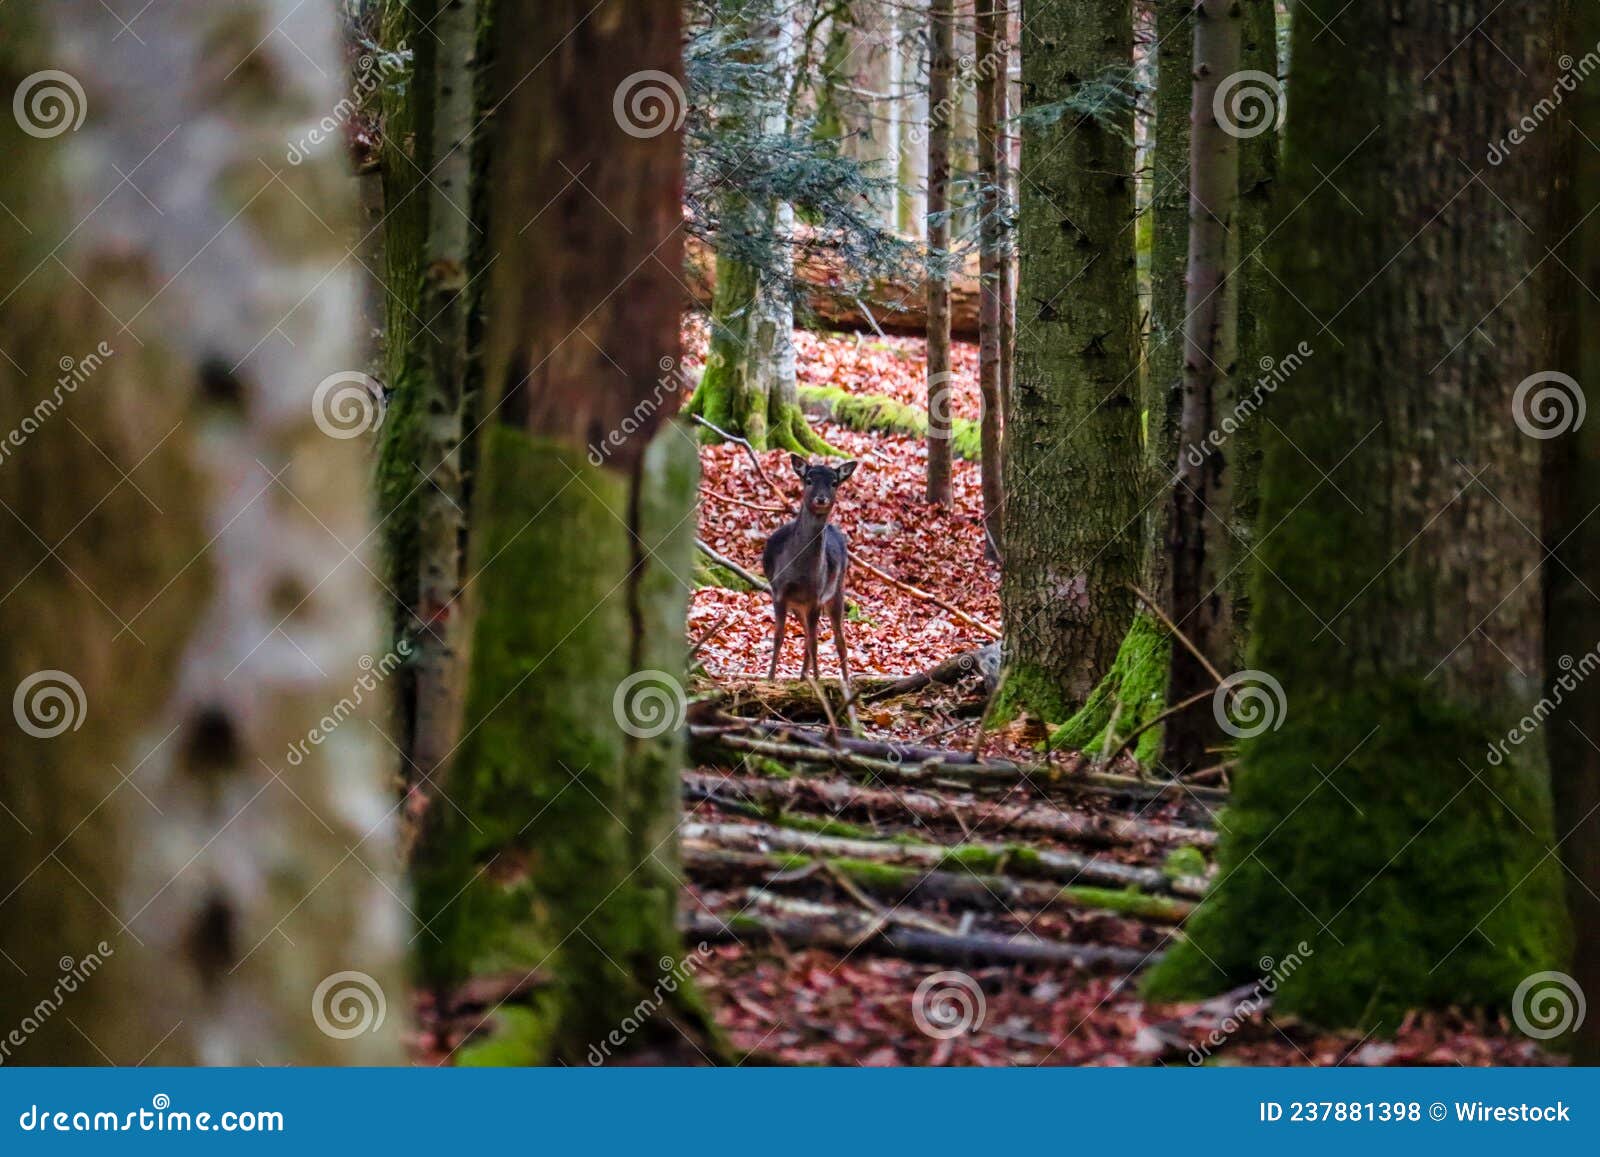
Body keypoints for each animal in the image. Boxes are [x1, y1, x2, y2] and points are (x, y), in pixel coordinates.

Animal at [762, 456, 858, 692]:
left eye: (834, 482)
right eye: (808, 480)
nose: (821, 498)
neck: (800, 572)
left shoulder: (816, 596)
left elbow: (815, 641)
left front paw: (818, 679)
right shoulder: (779, 592)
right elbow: (779, 636)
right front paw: (770, 678)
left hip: (837, 590)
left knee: (839, 639)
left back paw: (845, 680)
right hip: (798, 606)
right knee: (807, 633)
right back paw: (802, 676)